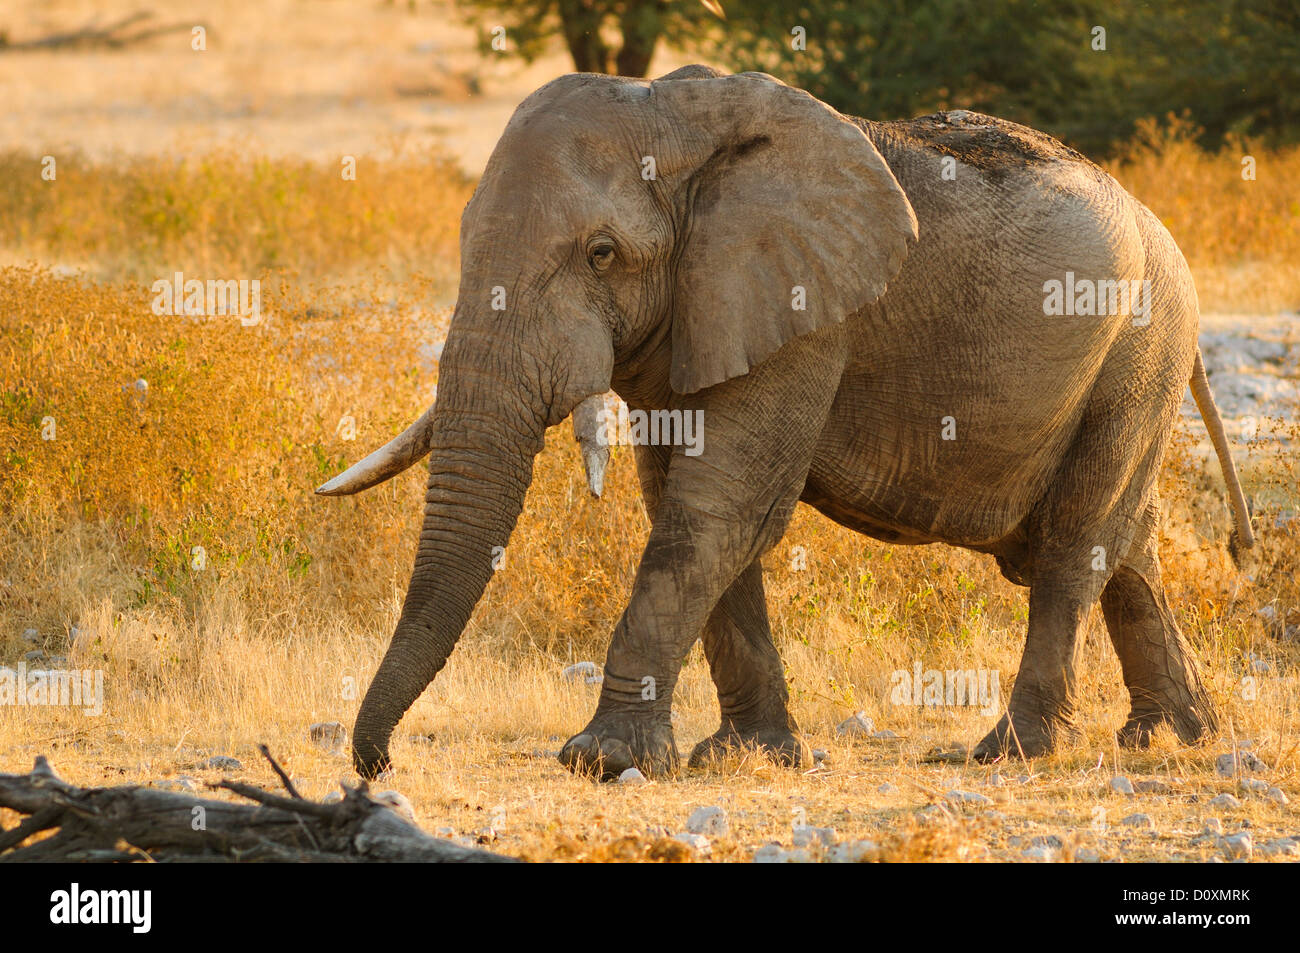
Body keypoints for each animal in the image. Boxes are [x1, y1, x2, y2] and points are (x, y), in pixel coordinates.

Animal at [318, 65, 1254, 780]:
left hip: (1138, 352)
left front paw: (602, 760)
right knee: (1127, 545)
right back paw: (1175, 737)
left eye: (602, 254)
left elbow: (720, 506)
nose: (382, 763)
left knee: (1070, 549)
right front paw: (745, 755)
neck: (676, 114)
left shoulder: (807, 315)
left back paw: (1009, 753)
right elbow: (689, 503)